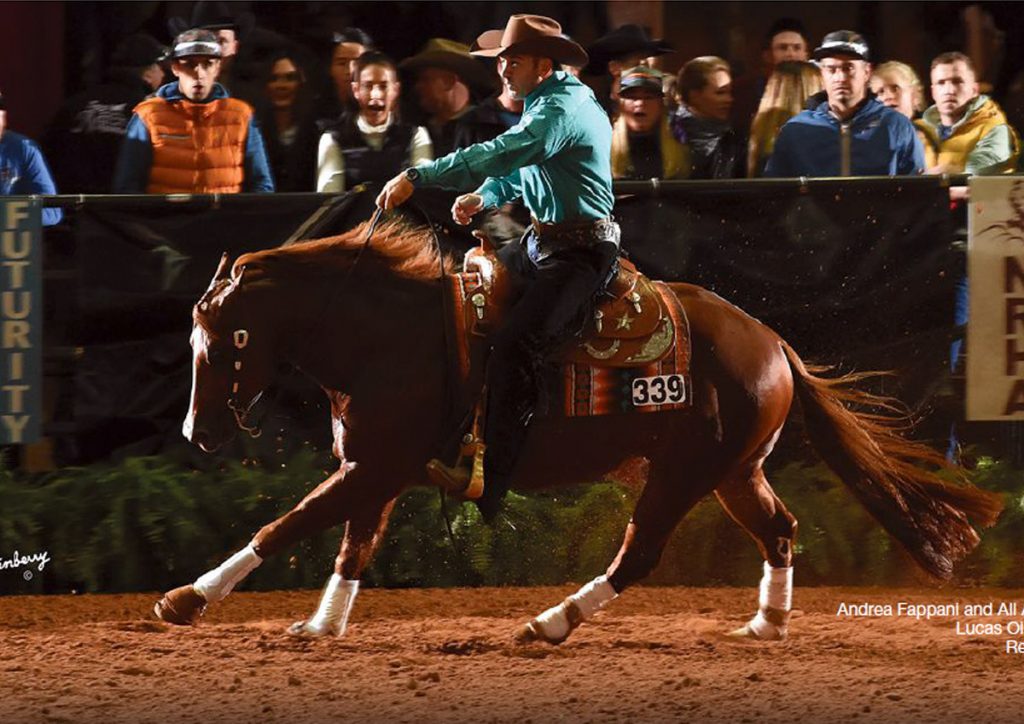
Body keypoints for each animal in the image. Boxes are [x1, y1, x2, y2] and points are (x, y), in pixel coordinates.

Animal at [155, 218, 1002, 644]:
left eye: (223, 340)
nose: (199, 431)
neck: (389, 335)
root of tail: (770, 343)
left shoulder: (374, 466)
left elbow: (287, 524)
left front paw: (187, 597)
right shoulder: (377, 466)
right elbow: (352, 546)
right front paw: (321, 625)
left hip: (682, 475)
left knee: (641, 552)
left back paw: (550, 621)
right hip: (733, 471)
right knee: (780, 528)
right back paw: (765, 624)